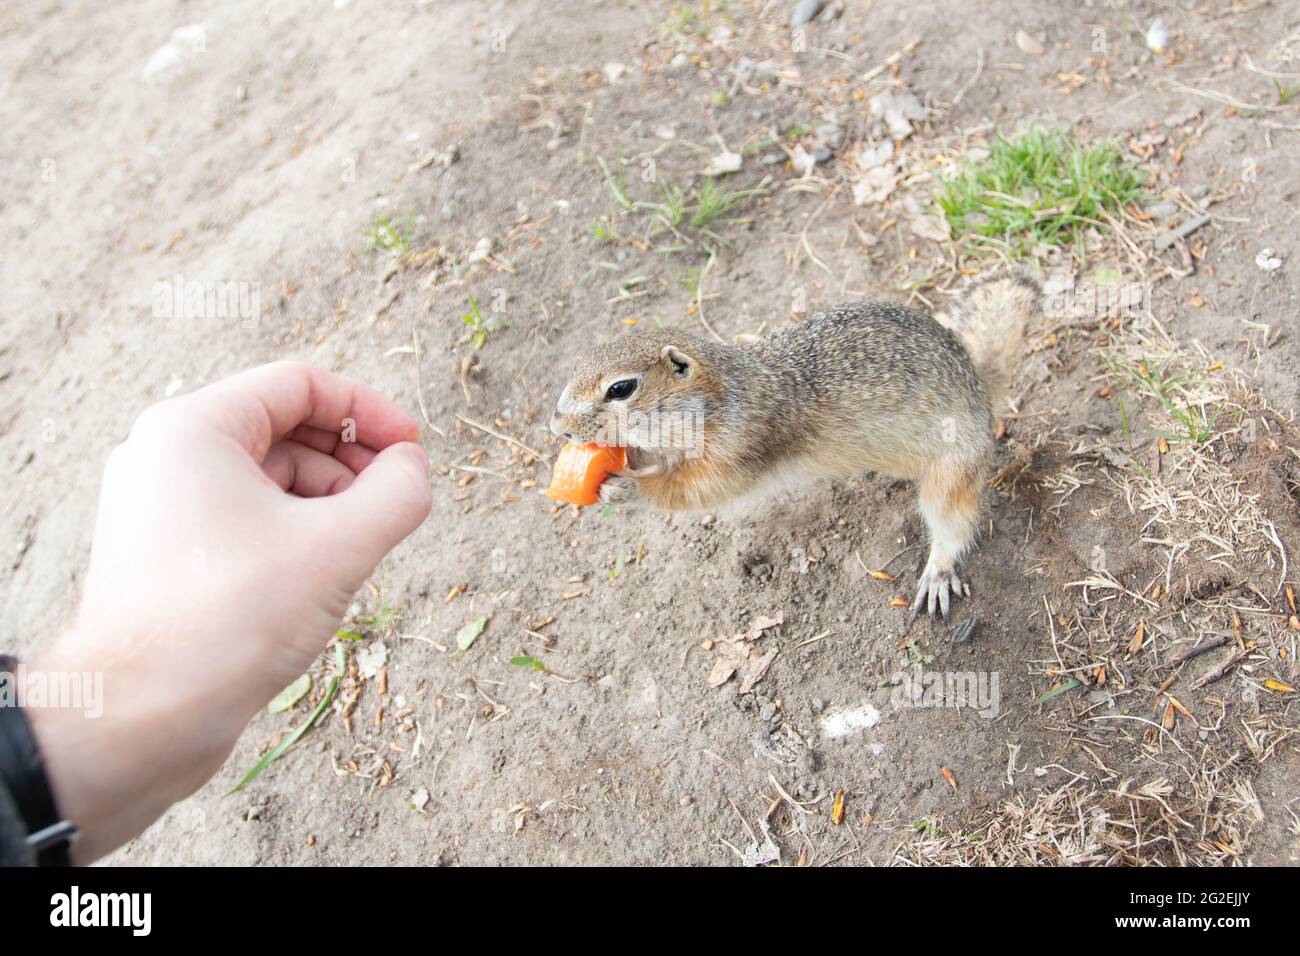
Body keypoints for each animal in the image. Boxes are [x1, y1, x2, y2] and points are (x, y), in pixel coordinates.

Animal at [549, 273, 1041, 618]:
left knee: (953, 523)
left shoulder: (738, 447)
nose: (560, 428)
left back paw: (938, 571)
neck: (729, 392)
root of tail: (979, 386)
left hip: (954, 471)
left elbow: (695, 490)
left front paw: (625, 486)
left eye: (621, 388)